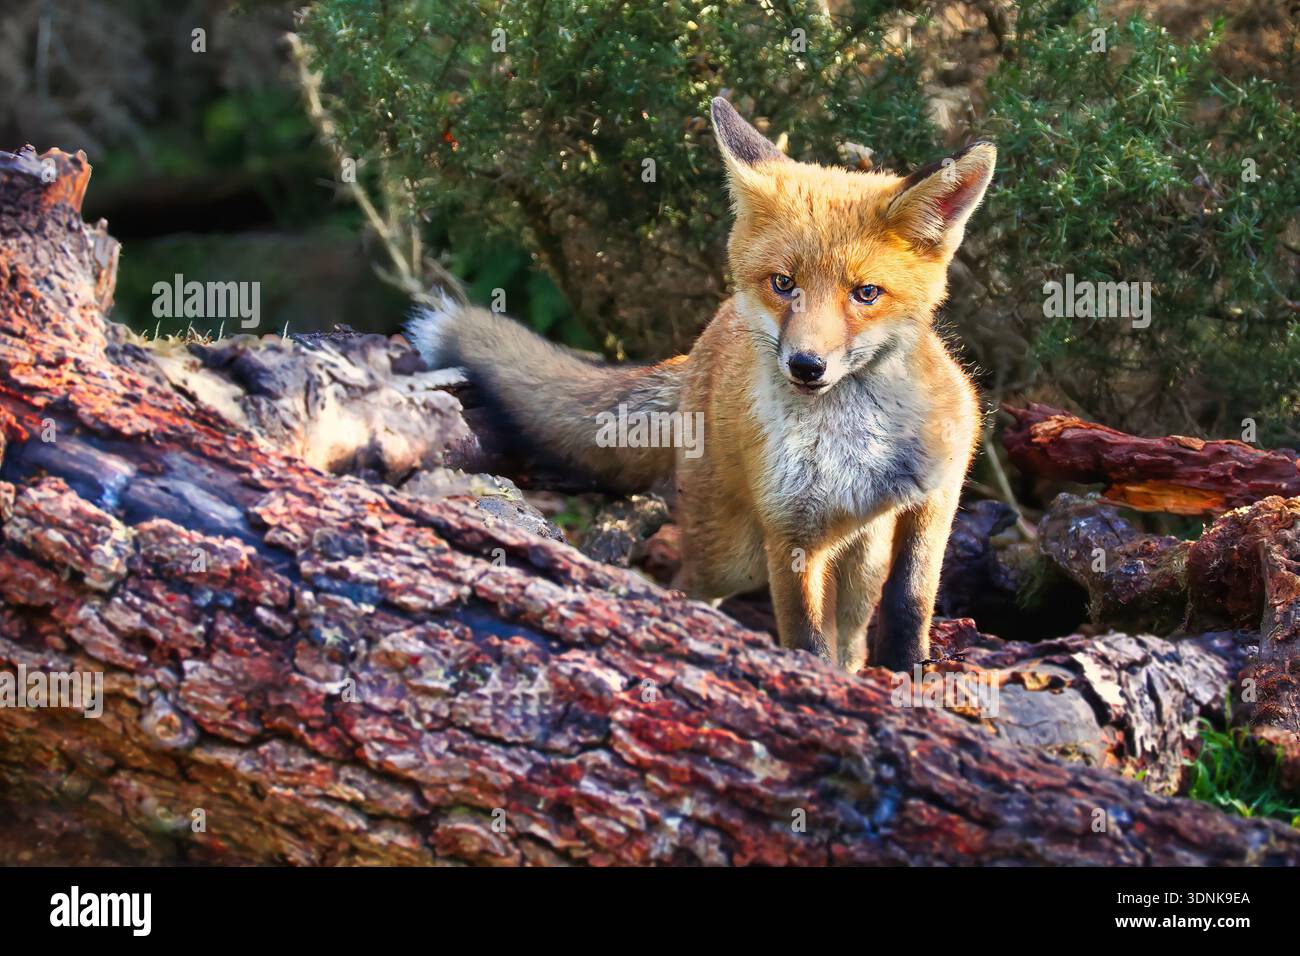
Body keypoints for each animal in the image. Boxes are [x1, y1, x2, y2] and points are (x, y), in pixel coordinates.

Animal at [409, 97, 993, 672]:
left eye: (866, 293)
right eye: (784, 283)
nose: (806, 366)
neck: (852, 443)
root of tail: (698, 351)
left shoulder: (938, 489)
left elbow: (911, 598)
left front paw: (909, 668)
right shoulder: (791, 534)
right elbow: (806, 639)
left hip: (858, 556)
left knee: (851, 631)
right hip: (735, 559)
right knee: (690, 584)